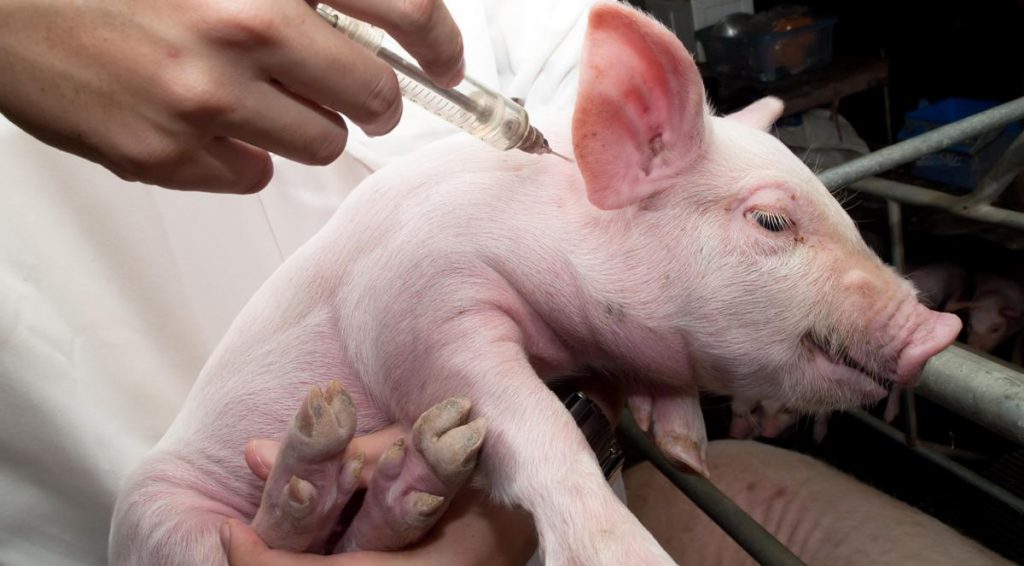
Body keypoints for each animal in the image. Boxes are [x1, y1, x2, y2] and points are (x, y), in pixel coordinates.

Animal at [110, 3, 962, 564]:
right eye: (773, 223)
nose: (938, 327)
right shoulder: (412, 304)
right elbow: (537, 423)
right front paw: (630, 556)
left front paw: (684, 450)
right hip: (163, 525)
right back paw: (319, 454)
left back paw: (410, 471)